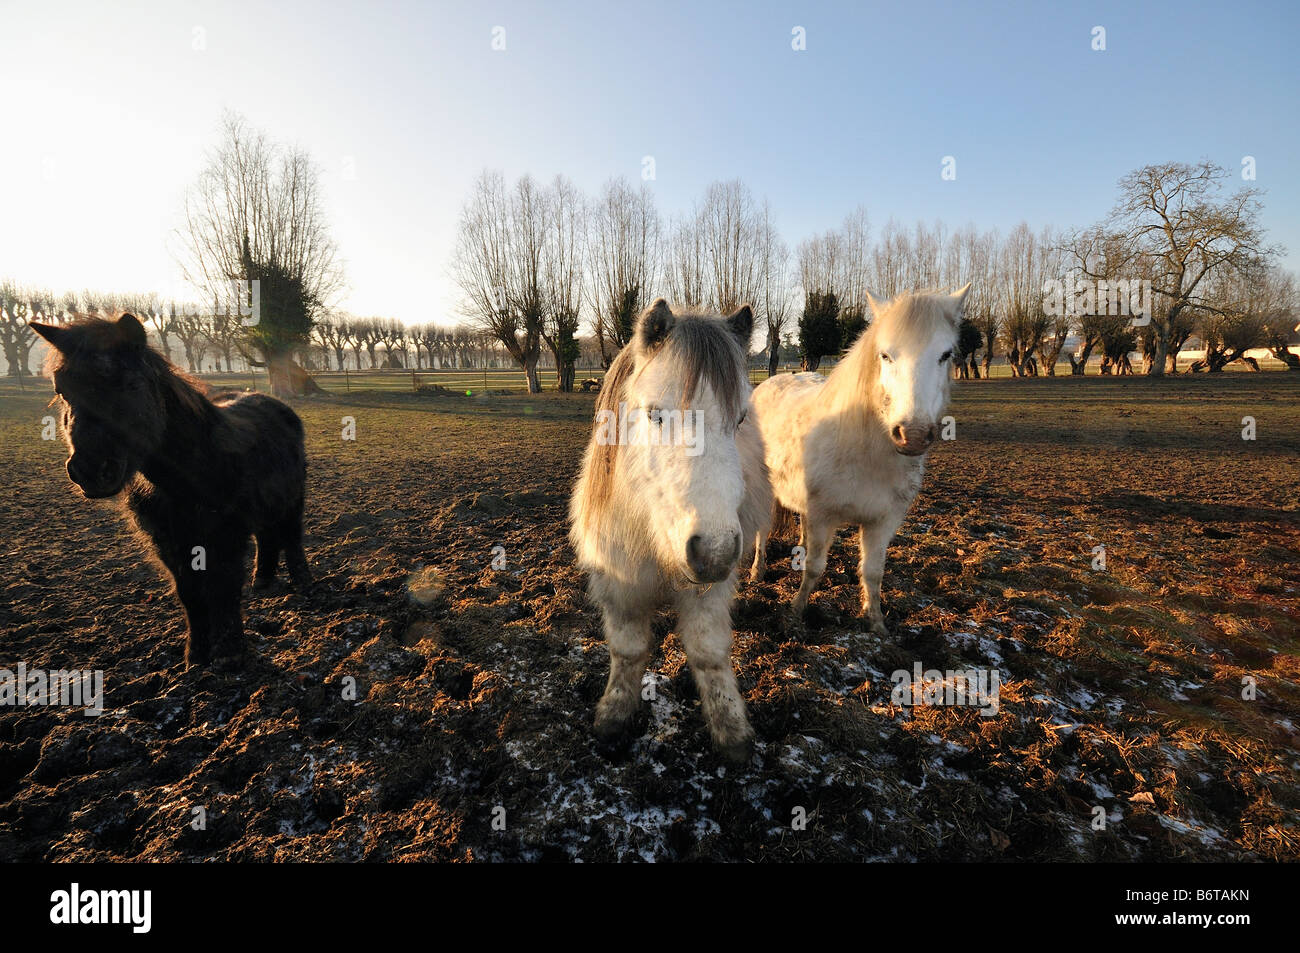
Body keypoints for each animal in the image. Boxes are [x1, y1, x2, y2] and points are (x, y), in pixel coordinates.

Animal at [31, 313, 311, 668]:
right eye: (61, 389)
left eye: (132, 384)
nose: (90, 470)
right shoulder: (167, 543)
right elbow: (189, 594)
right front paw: (196, 656)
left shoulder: (225, 537)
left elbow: (224, 588)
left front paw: (231, 652)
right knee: (267, 537)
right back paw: (262, 581)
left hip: (293, 501)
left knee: (291, 537)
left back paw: (303, 582)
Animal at [569, 299, 772, 763]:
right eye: (654, 414)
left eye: (739, 420)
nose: (714, 552)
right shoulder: (619, 583)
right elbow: (627, 651)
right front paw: (613, 718)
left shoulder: (709, 591)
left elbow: (708, 653)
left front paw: (731, 733)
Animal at [750, 286, 970, 634]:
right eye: (885, 355)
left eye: (946, 354)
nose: (912, 435)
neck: (864, 452)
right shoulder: (824, 516)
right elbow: (815, 568)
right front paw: (795, 615)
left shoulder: (883, 522)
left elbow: (873, 572)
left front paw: (876, 623)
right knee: (762, 531)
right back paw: (757, 572)